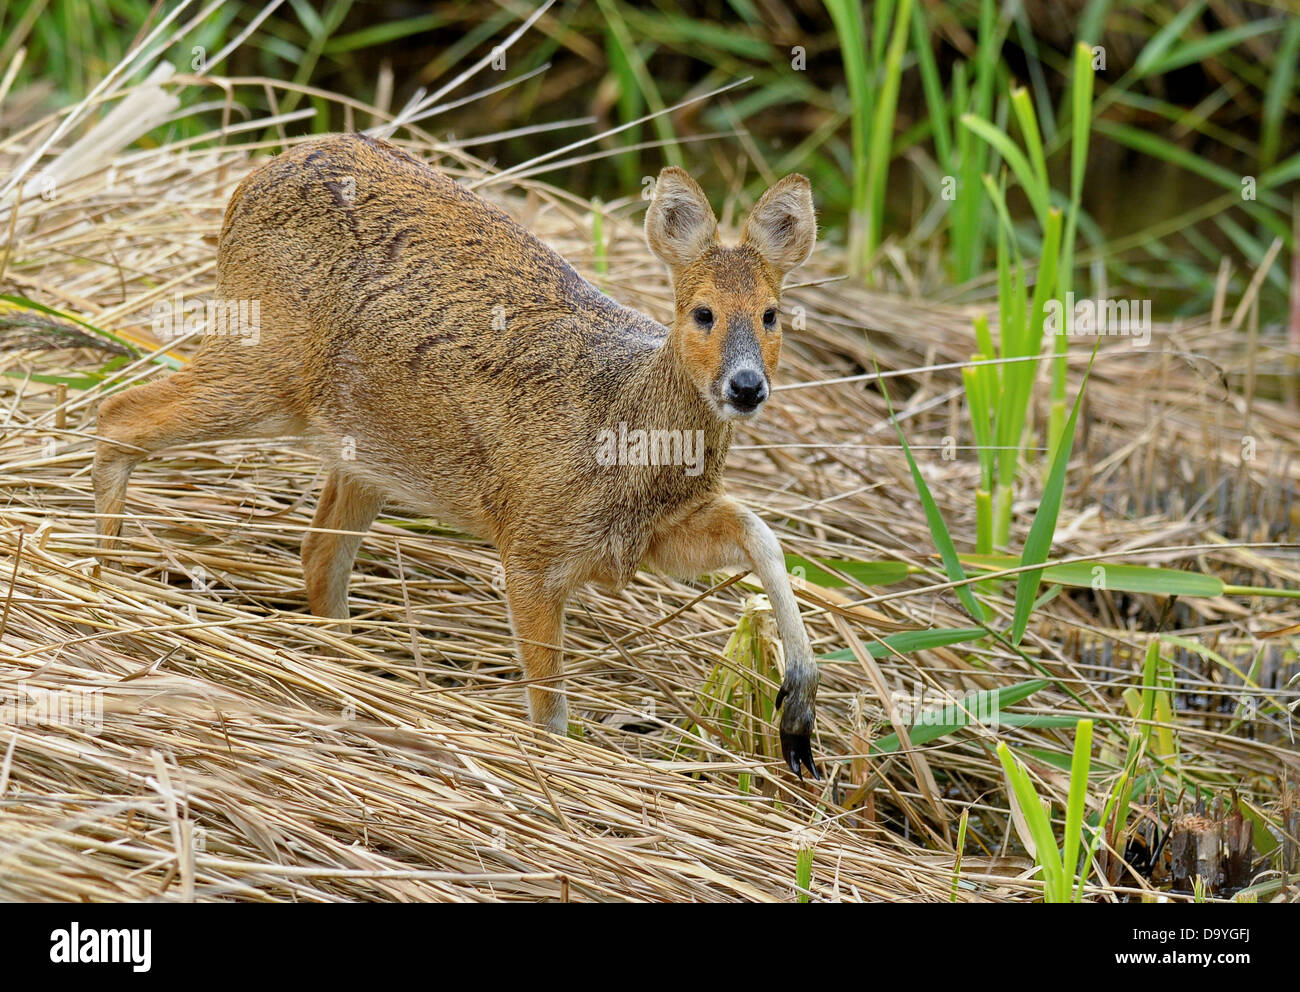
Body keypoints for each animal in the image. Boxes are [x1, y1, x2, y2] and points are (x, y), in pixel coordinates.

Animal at [92, 133, 822, 778]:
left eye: (772, 315)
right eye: (701, 313)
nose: (746, 387)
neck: (624, 419)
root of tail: (251, 180)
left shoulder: (642, 541)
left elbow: (760, 533)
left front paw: (799, 710)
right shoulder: (531, 545)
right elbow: (548, 706)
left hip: (366, 444)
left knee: (318, 554)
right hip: (263, 366)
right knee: (118, 414)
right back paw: (102, 573)